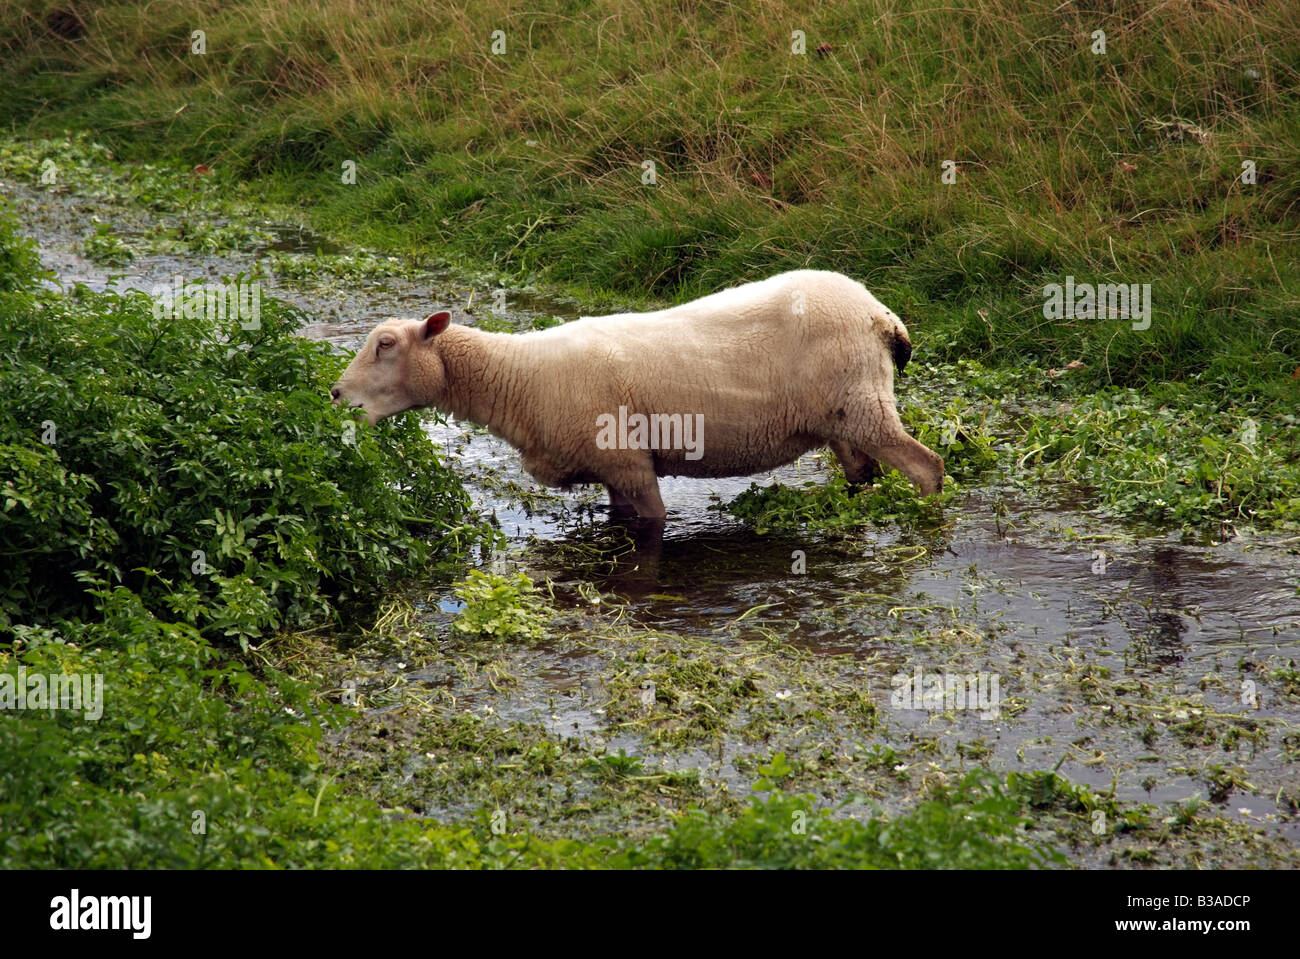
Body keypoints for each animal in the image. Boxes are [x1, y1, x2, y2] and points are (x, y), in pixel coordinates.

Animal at [330, 269, 944, 520]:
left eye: (385, 345)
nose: (336, 395)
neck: (519, 376)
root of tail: (881, 315)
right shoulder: (608, 471)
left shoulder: (628, 461)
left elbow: (653, 522)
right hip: (840, 415)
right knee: (863, 473)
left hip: (864, 405)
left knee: (927, 467)